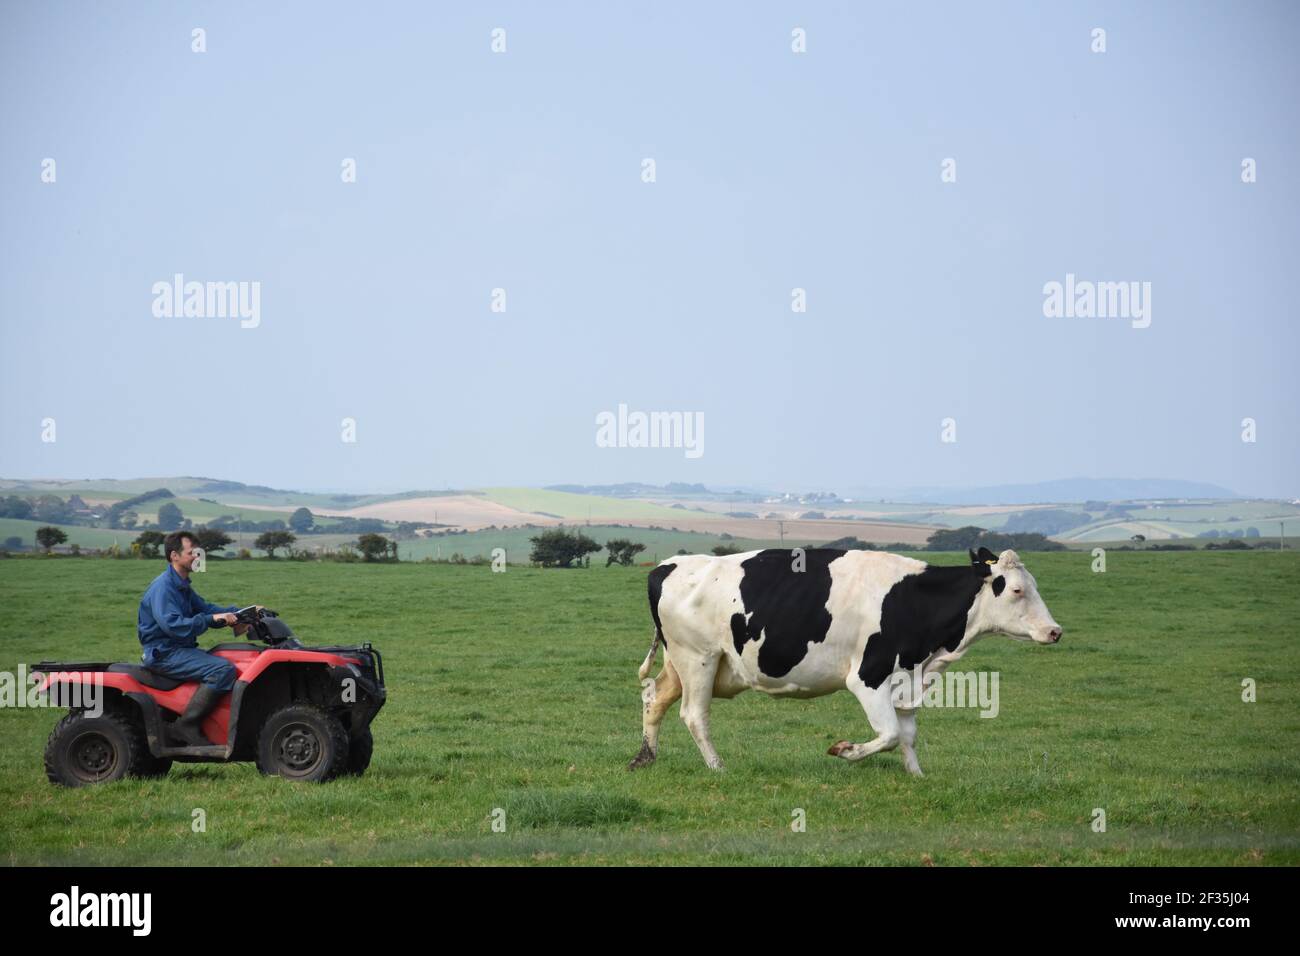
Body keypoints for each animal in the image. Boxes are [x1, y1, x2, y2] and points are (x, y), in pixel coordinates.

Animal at [628, 545, 1062, 776]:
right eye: (1018, 590)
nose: (1055, 631)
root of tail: (670, 564)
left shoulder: (908, 677)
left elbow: (907, 734)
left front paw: (917, 775)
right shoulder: (868, 677)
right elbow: (888, 734)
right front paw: (845, 750)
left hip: (684, 663)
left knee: (654, 698)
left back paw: (645, 757)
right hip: (698, 658)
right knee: (693, 714)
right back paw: (718, 767)